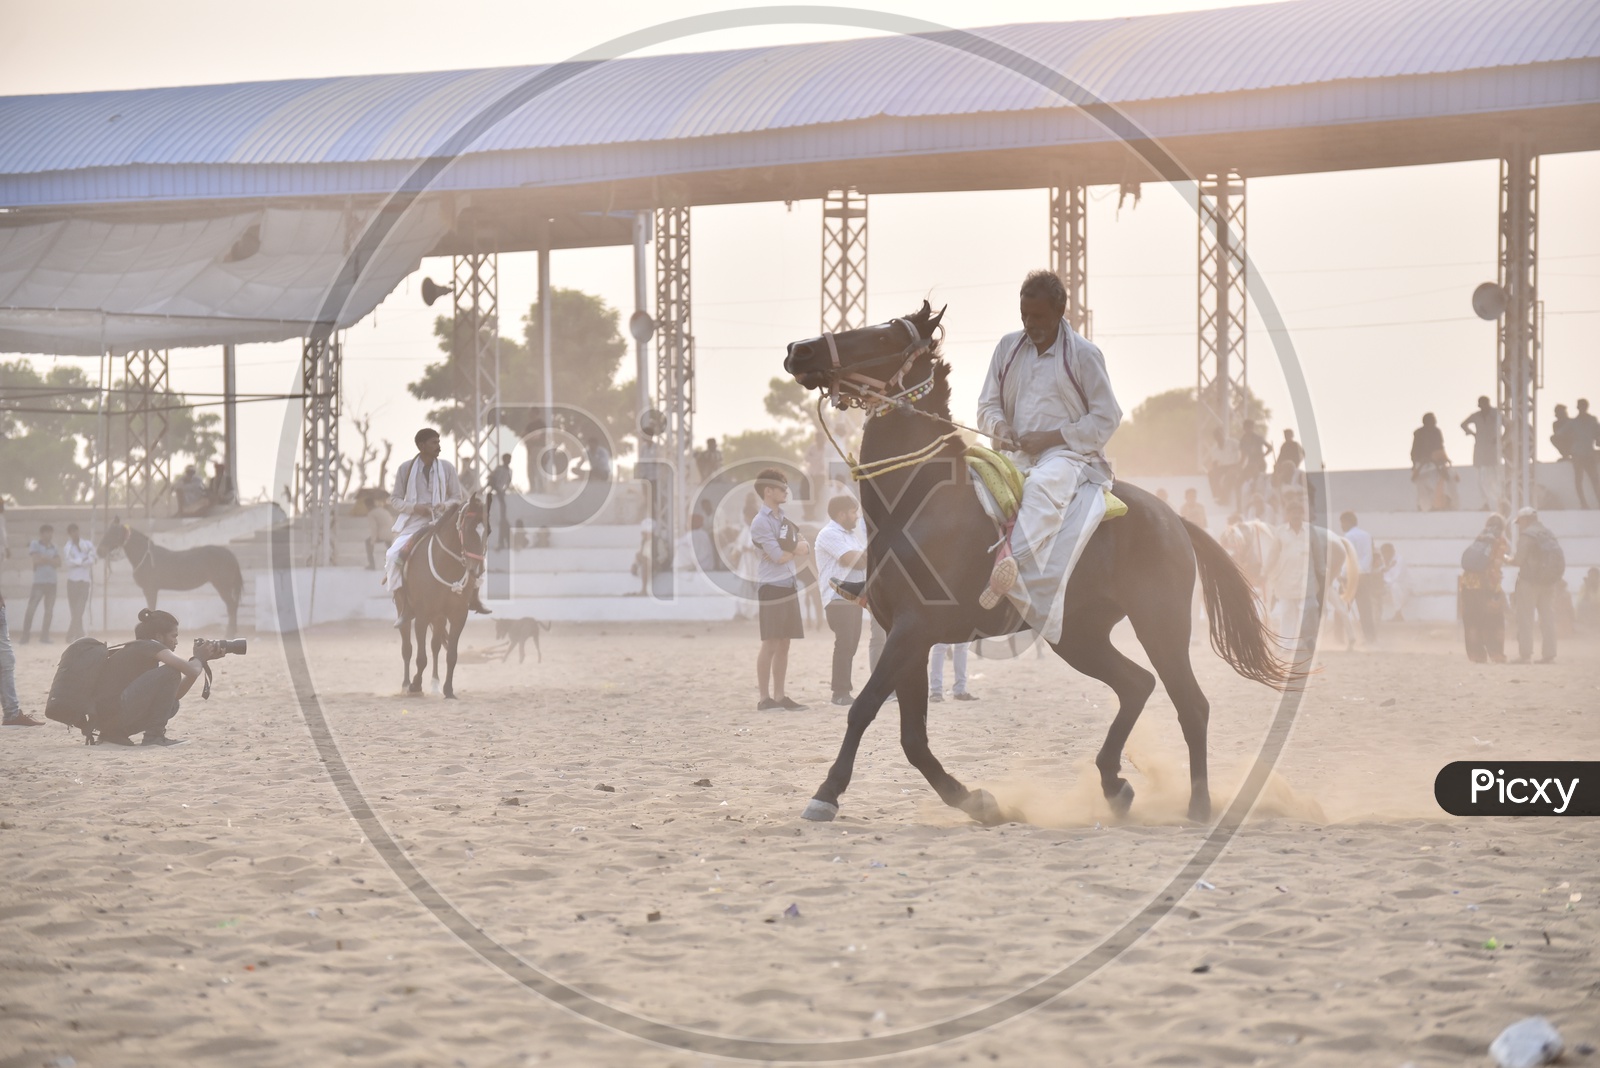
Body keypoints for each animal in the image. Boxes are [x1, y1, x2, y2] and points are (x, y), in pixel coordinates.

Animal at [98, 518, 244, 638]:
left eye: (113, 532)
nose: (99, 552)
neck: (146, 558)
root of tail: (230, 554)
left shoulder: (150, 589)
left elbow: (151, 607)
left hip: (222, 586)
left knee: (231, 606)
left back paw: (229, 634)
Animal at [398, 493, 490, 699]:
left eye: (488, 531)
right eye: (467, 528)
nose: (477, 570)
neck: (446, 565)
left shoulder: (458, 615)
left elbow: (451, 655)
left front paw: (448, 689)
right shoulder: (422, 616)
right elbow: (420, 657)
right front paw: (415, 685)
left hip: (439, 617)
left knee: (435, 646)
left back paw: (435, 683)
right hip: (404, 610)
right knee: (407, 647)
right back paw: (406, 685)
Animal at [782, 301, 1296, 826]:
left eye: (884, 337)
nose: (800, 350)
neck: (917, 502)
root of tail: (1173, 518)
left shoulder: (913, 629)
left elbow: (864, 708)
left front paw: (826, 793)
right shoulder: (905, 635)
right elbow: (912, 738)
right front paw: (978, 801)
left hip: (1160, 624)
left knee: (1190, 703)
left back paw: (1198, 805)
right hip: (1077, 635)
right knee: (1137, 684)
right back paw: (1114, 785)